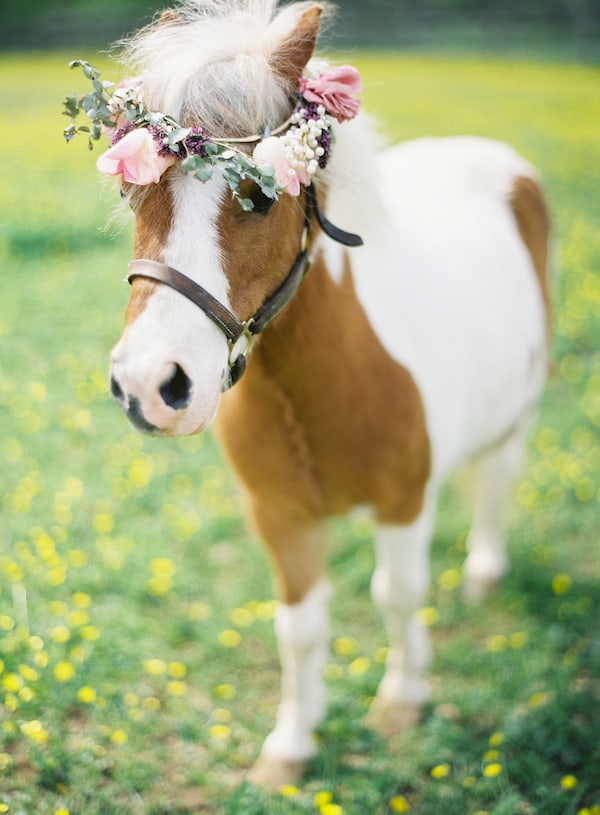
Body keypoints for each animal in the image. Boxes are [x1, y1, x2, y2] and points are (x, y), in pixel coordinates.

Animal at [92, 0, 550, 790]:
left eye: (256, 196)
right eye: (131, 190)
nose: (150, 385)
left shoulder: (402, 504)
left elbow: (397, 594)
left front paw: (402, 702)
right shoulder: (282, 517)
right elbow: (300, 629)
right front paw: (291, 745)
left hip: (519, 411)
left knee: (499, 474)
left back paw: (485, 572)